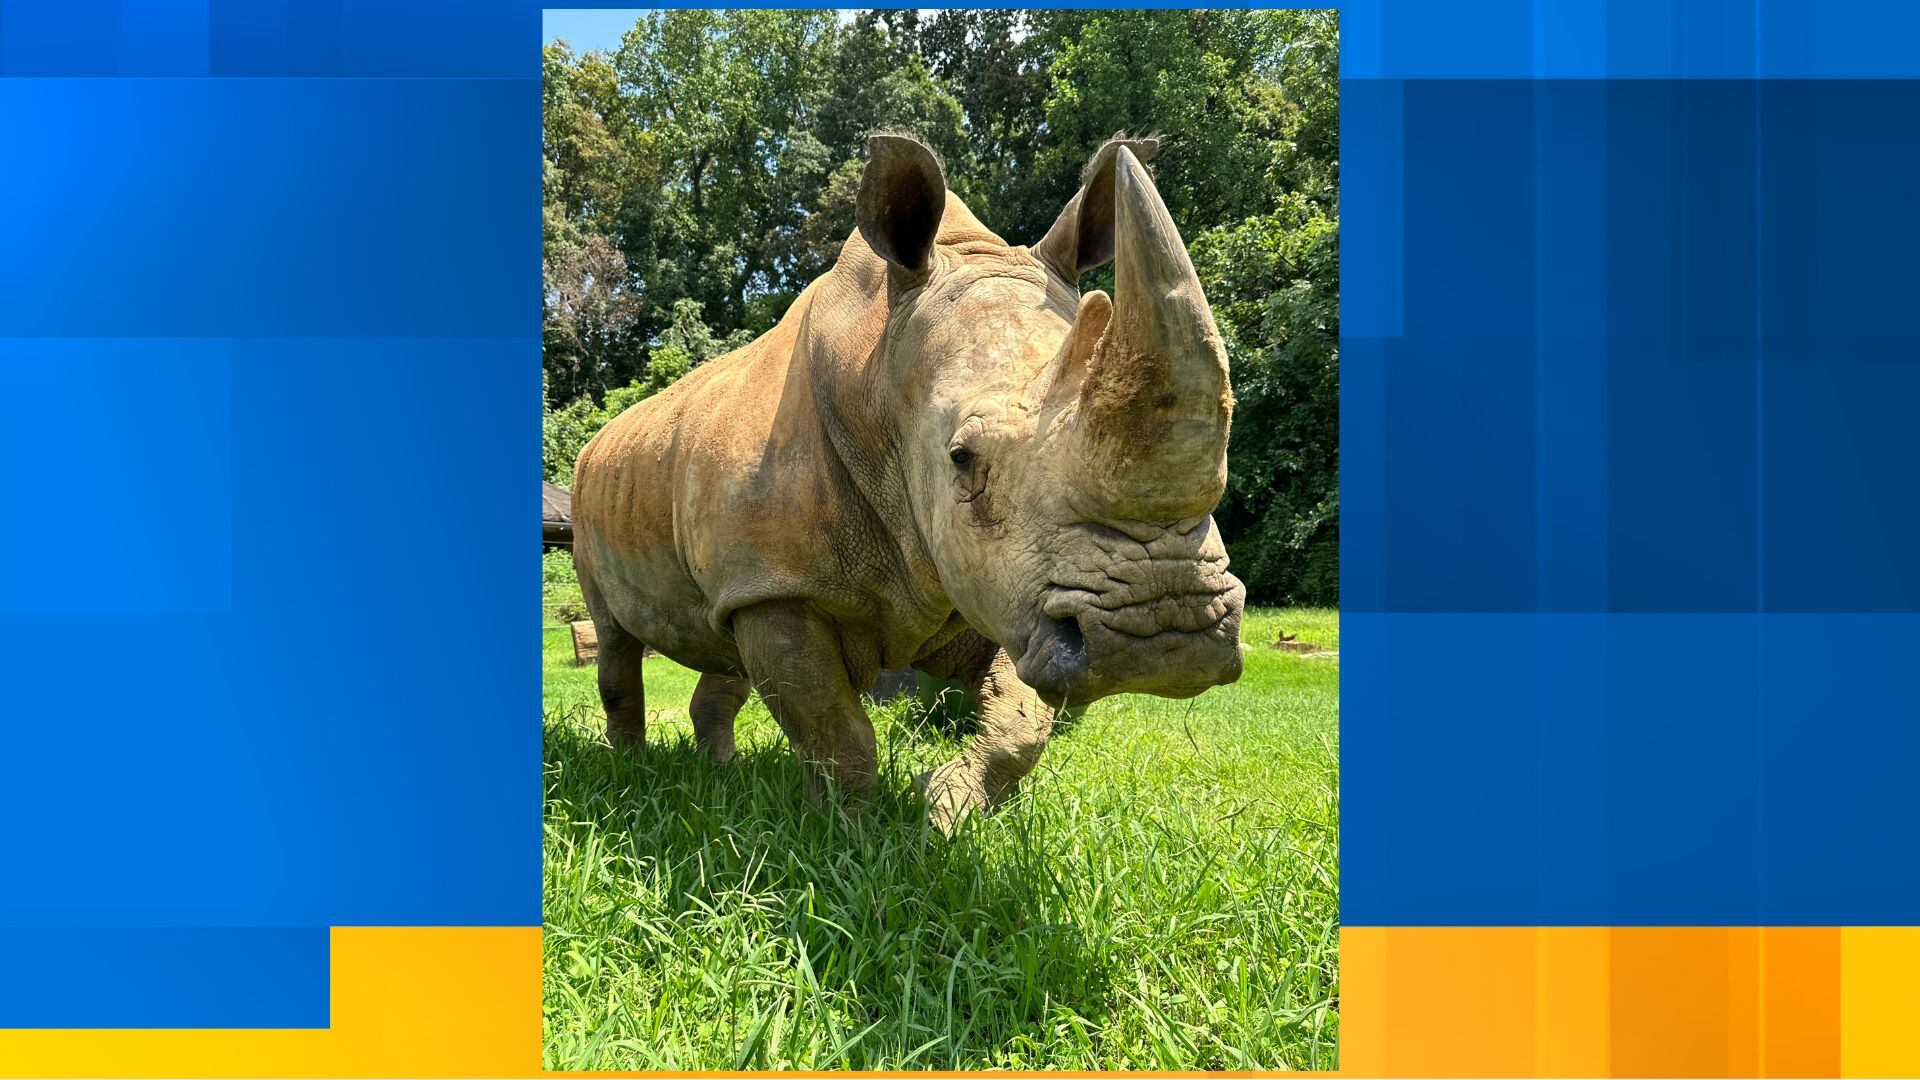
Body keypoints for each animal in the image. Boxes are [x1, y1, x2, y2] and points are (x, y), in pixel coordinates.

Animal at [572, 133, 1244, 829]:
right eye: (961, 457)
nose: (1167, 635)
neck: (878, 369)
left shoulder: (997, 581)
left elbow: (1020, 722)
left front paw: (943, 806)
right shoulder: (780, 588)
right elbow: (834, 731)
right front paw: (848, 834)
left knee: (722, 646)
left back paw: (721, 773)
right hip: (589, 504)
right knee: (615, 639)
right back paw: (632, 771)